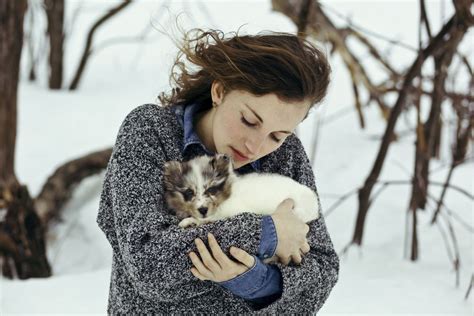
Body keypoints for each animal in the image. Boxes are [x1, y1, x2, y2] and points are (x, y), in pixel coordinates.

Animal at [161, 152, 320, 227]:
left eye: (211, 190)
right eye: (189, 193)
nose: (203, 210)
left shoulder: (229, 211)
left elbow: (209, 218)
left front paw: (189, 221)